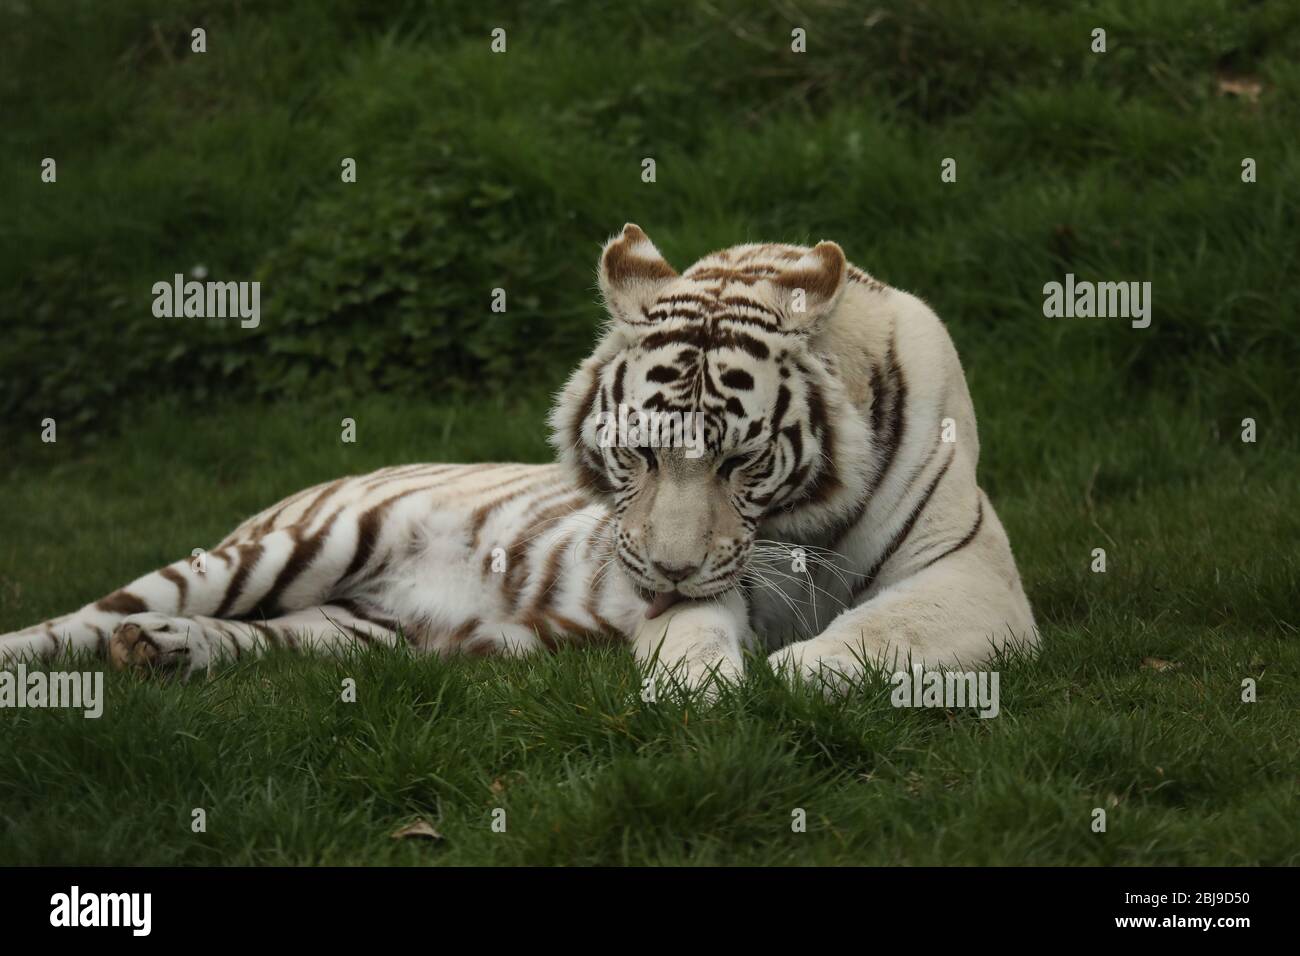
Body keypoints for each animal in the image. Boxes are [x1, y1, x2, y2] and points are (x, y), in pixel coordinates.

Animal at [0, 224, 1037, 691]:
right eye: (639, 455)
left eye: (742, 462)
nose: (666, 570)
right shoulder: (696, 581)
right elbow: (696, 636)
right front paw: (700, 692)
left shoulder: (972, 574)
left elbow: (875, 634)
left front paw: (780, 681)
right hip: (281, 550)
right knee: (79, 621)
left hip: (349, 634)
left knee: (252, 640)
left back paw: (163, 651)